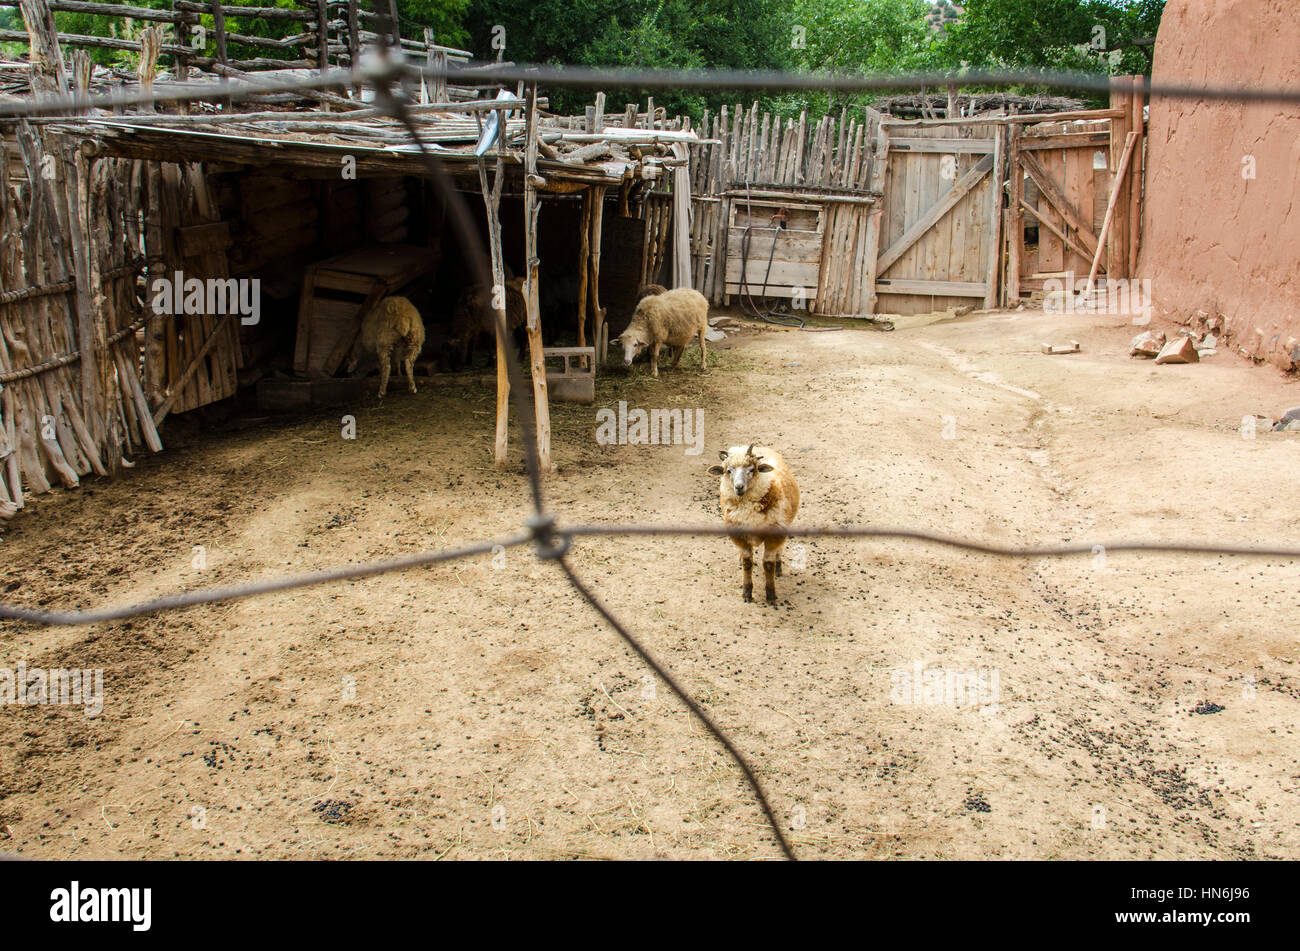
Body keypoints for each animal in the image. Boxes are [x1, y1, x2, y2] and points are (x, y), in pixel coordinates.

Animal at [707, 444, 800, 603]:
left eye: (751, 469)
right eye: (728, 471)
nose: (739, 487)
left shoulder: (774, 534)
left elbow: (768, 564)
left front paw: (771, 595)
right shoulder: (740, 536)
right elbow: (747, 563)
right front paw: (747, 593)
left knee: (780, 549)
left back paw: (779, 566)